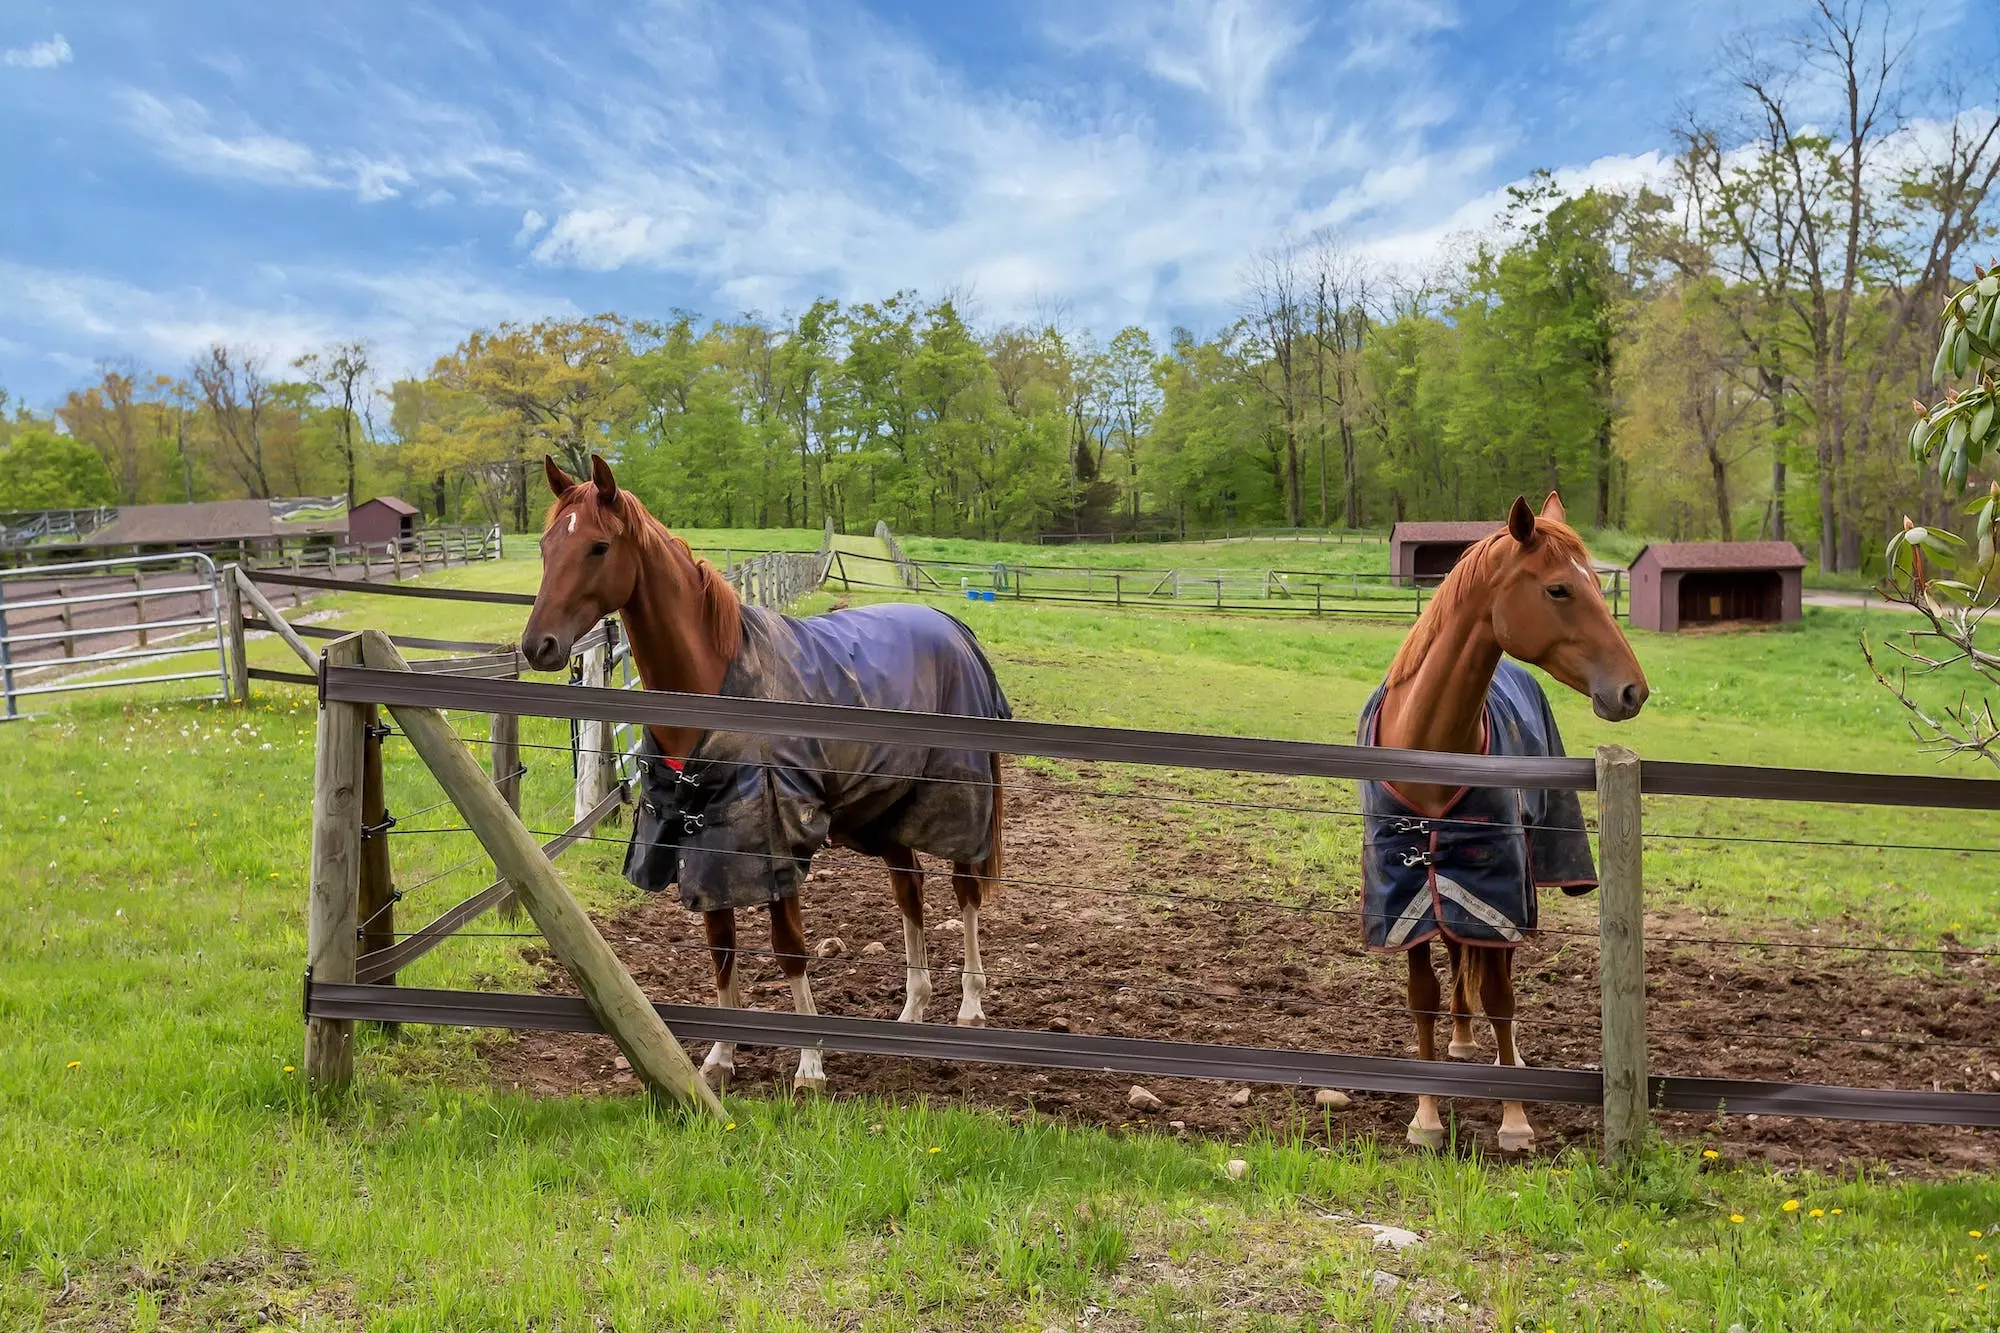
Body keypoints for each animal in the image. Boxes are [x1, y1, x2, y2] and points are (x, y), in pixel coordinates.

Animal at [524, 454, 1008, 1088]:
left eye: (598, 546)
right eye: (546, 543)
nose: (538, 645)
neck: (719, 684)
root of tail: (953, 626)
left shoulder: (774, 839)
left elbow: (788, 949)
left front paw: (810, 1065)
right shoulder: (704, 841)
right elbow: (722, 947)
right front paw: (719, 1059)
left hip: (955, 801)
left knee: (965, 889)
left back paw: (970, 1008)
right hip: (882, 809)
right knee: (910, 889)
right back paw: (911, 1011)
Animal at [1368, 492, 1648, 1144]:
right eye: (1559, 589)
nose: (1633, 691)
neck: (1426, 750)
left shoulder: (1495, 891)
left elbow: (1500, 995)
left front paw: (1515, 1119)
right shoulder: (1405, 897)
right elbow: (1423, 994)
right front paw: (1426, 1117)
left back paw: (1507, 1056)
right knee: (1456, 962)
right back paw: (1462, 1040)